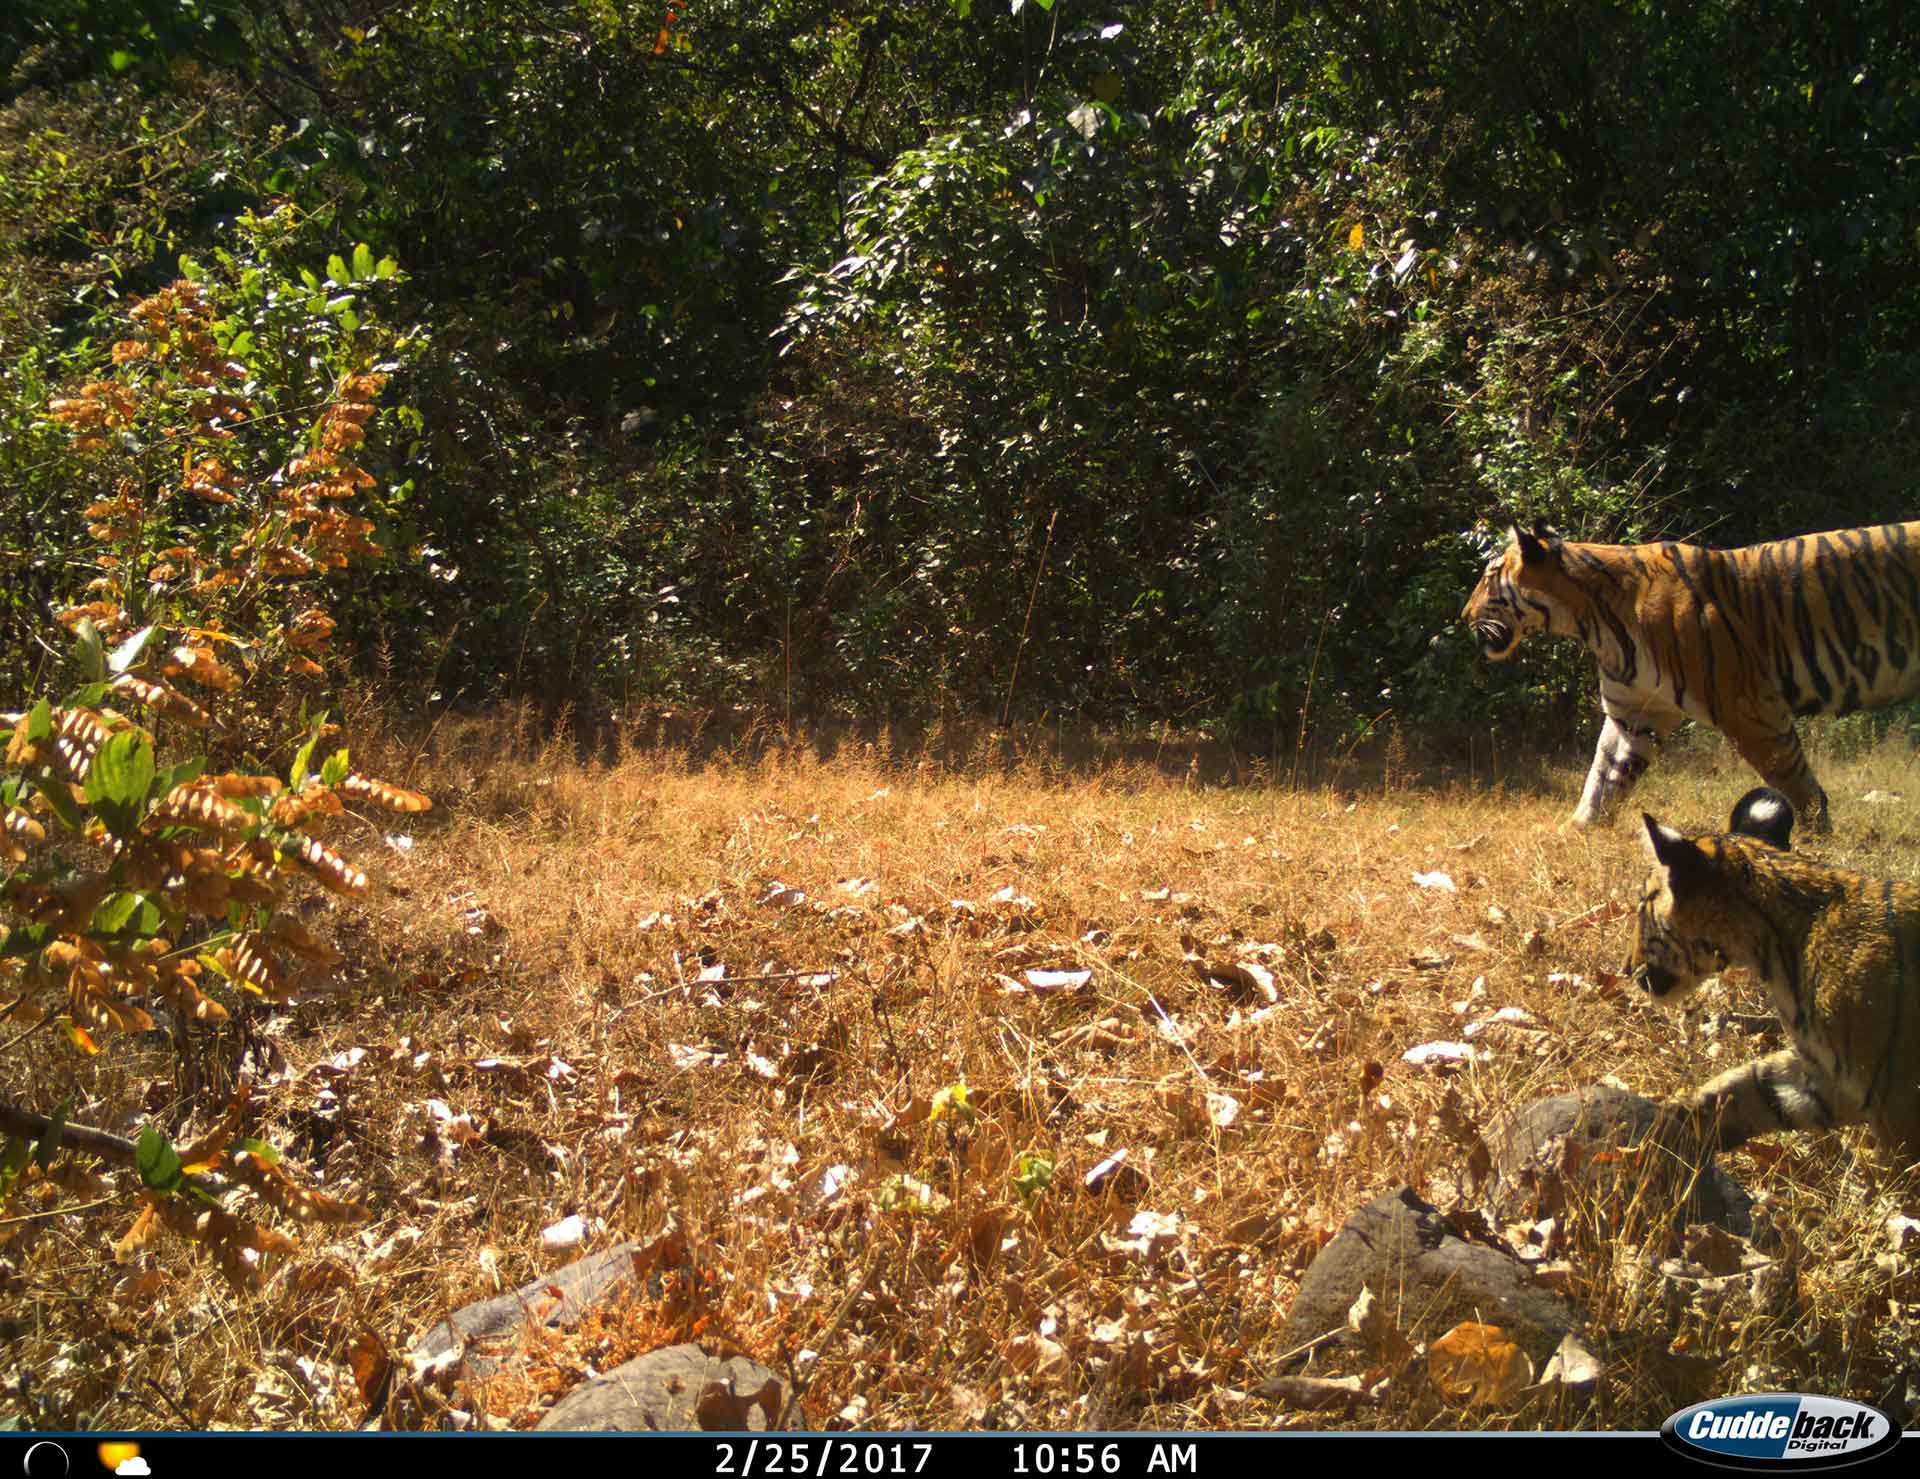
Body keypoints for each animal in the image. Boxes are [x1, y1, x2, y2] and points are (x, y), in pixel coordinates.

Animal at [1460, 518, 1920, 832]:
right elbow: (1604, 776)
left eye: (1488, 577)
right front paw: (1576, 829)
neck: (1591, 620)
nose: (1463, 616)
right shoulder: (1634, 712)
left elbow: (1794, 780)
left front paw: (1813, 841)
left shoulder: (1749, 709)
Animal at [1629, 785, 1920, 1165]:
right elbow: (1742, 1090)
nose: (1627, 968)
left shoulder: (1899, 1108)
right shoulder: (1824, 1078)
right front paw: (1660, 1138)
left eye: (1643, 904)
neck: (1773, 953)